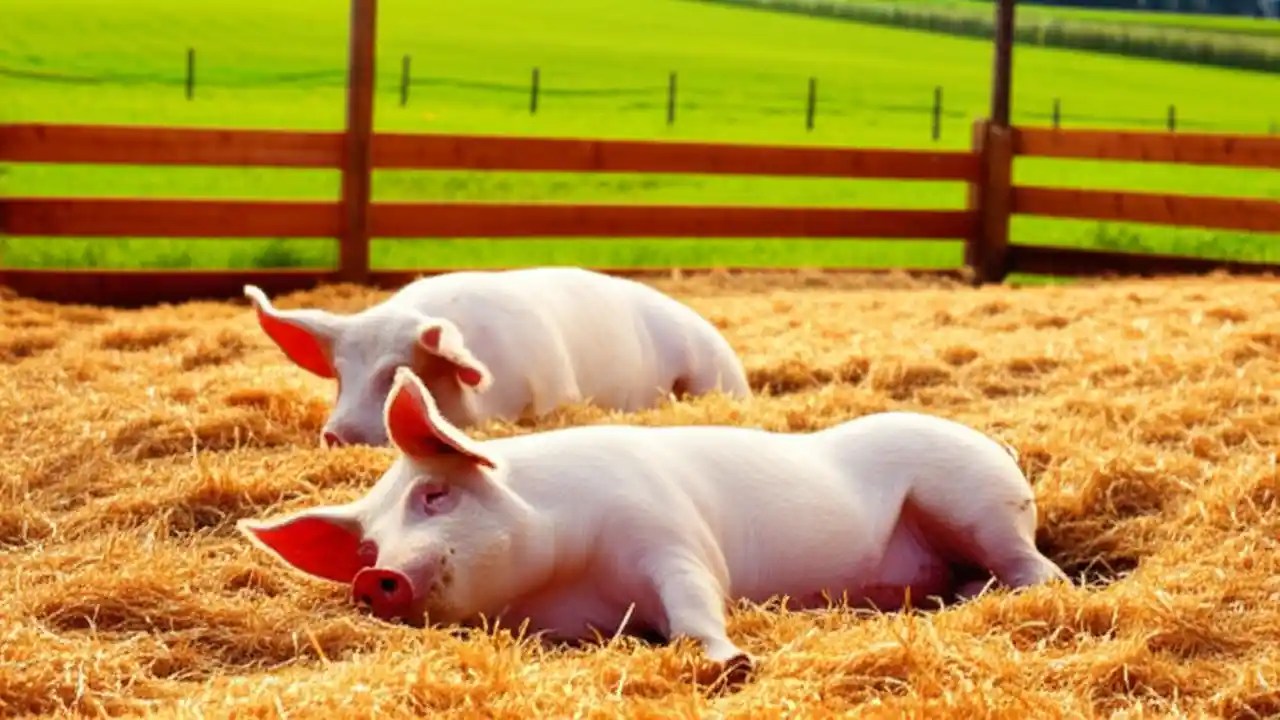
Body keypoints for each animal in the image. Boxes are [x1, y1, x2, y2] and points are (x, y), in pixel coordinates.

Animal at [238, 367, 1069, 679]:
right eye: (369, 544)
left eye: (436, 496)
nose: (375, 576)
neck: (567, 576)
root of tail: (993, 444)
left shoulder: (671, 533)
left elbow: (697, 601)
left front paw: (733, 664)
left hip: (975, 501)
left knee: (1043, 572)